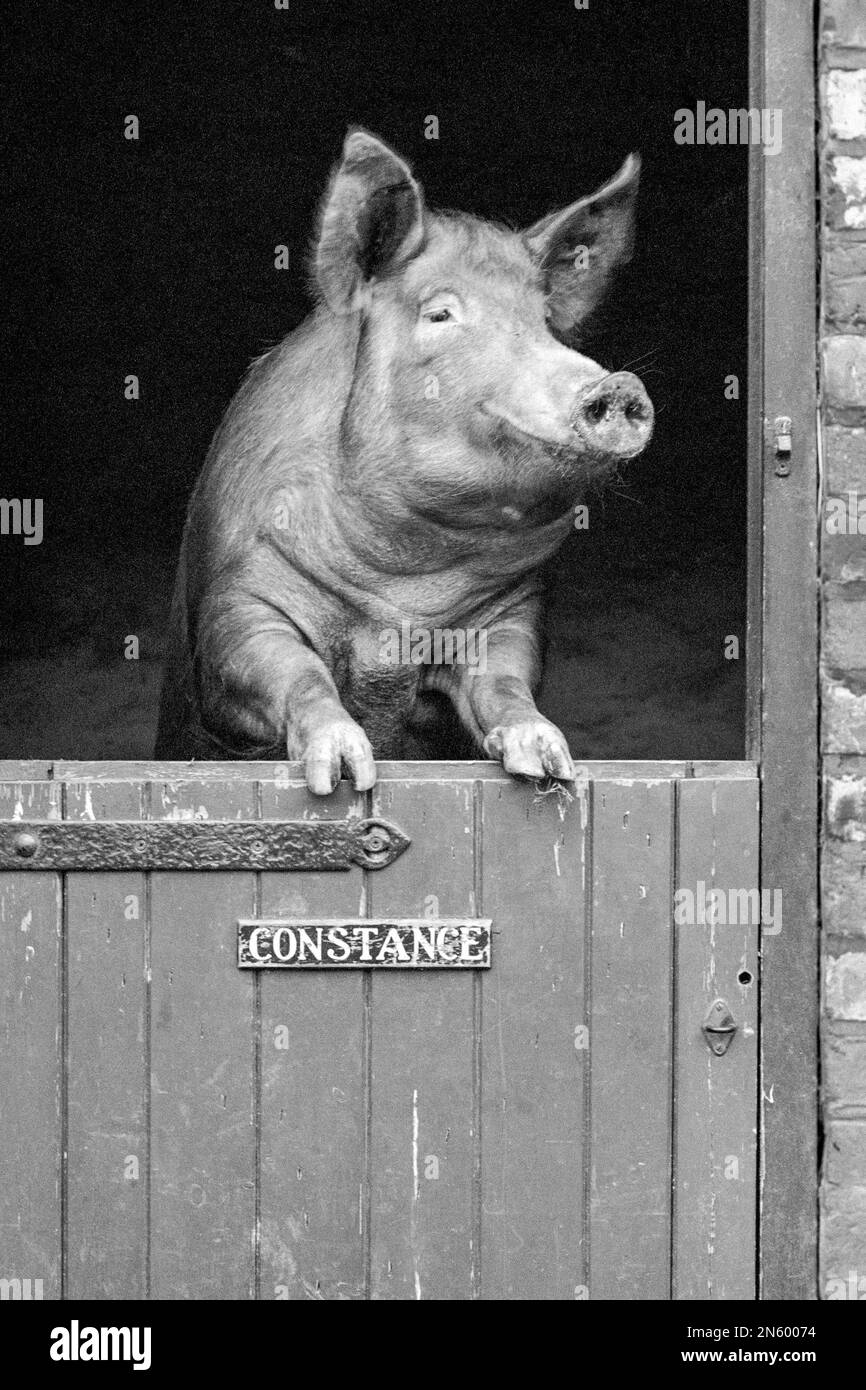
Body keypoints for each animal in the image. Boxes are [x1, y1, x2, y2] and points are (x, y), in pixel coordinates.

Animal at [155, 129, 653, 792]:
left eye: (545, 321)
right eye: (439, 313)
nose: (617, 384)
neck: (402, 592)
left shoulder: (510, 613)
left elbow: (506, 684)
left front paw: (550, 761)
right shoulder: (239, 597)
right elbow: (292, 671)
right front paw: (344, 770)